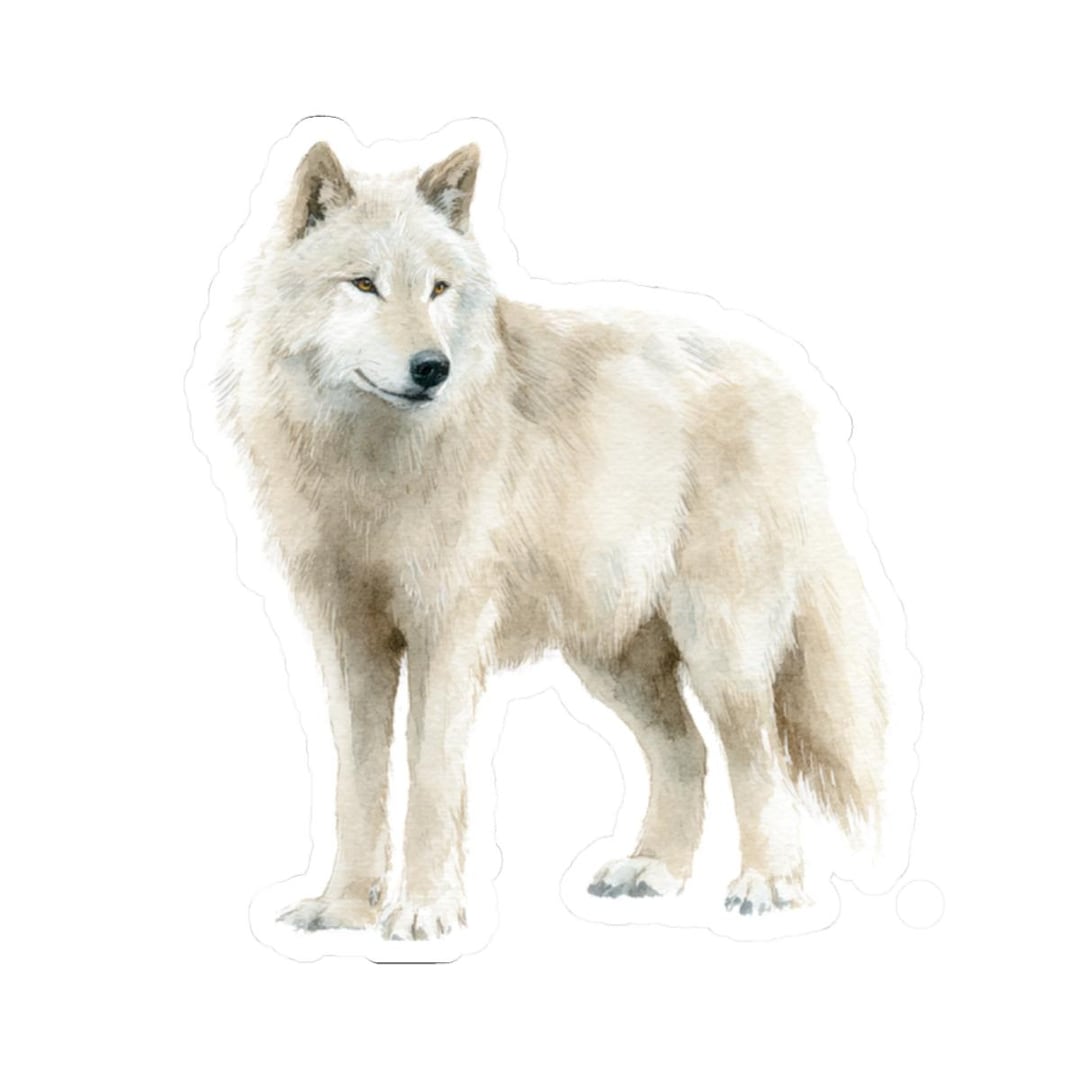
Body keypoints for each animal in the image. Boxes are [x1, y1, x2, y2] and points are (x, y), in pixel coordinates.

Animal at [216, 138, 891, 941]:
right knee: (686, 750)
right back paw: (654, 871)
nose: (432, 368)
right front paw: (346, 908)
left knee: (758, 757)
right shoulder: (348, 642)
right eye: (364, 285)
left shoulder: (447, 634)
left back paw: (768, 884)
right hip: (612, 658)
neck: (371, 466)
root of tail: (784, 380)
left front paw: (425, 911)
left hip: (720, 647)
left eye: (437, 289)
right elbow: (358, 784)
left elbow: (432, 782)